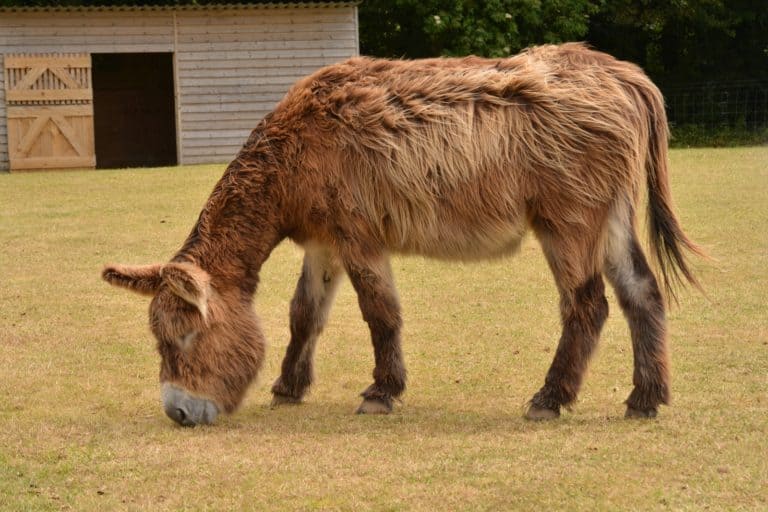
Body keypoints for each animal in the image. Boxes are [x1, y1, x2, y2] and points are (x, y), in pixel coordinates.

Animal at [103, 43, 702, 426]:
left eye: (184, 337)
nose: (178, 413)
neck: (294, 149)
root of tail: (622, 74)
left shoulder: (358, 237)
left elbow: (380, 312)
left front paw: (381, 393)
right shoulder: (324, 244)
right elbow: (305, 315)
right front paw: (288, 388)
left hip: (568, 221)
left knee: (587, 305)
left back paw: (550, 399)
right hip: (608, 216)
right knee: (642, 294)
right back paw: (645, 399)